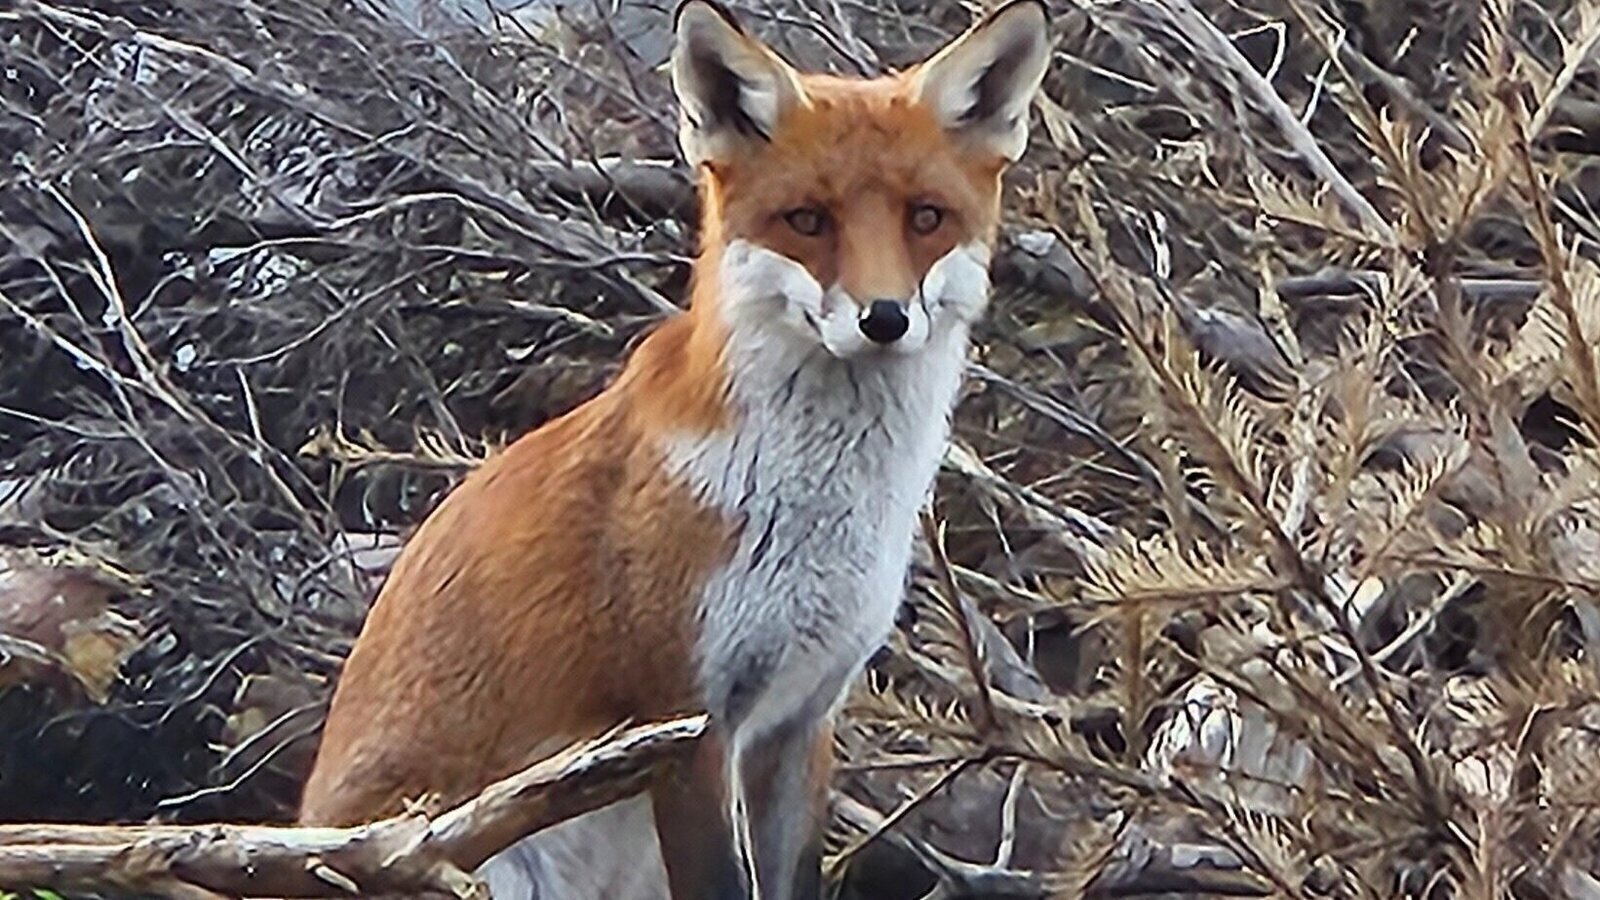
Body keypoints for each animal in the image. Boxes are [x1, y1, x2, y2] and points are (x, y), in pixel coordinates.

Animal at [296, 2, 1051, 898]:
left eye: (925, 217)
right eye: (808, 220)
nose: (885, 318)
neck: (818, 515)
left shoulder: (802, 716)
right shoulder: (683, 722)